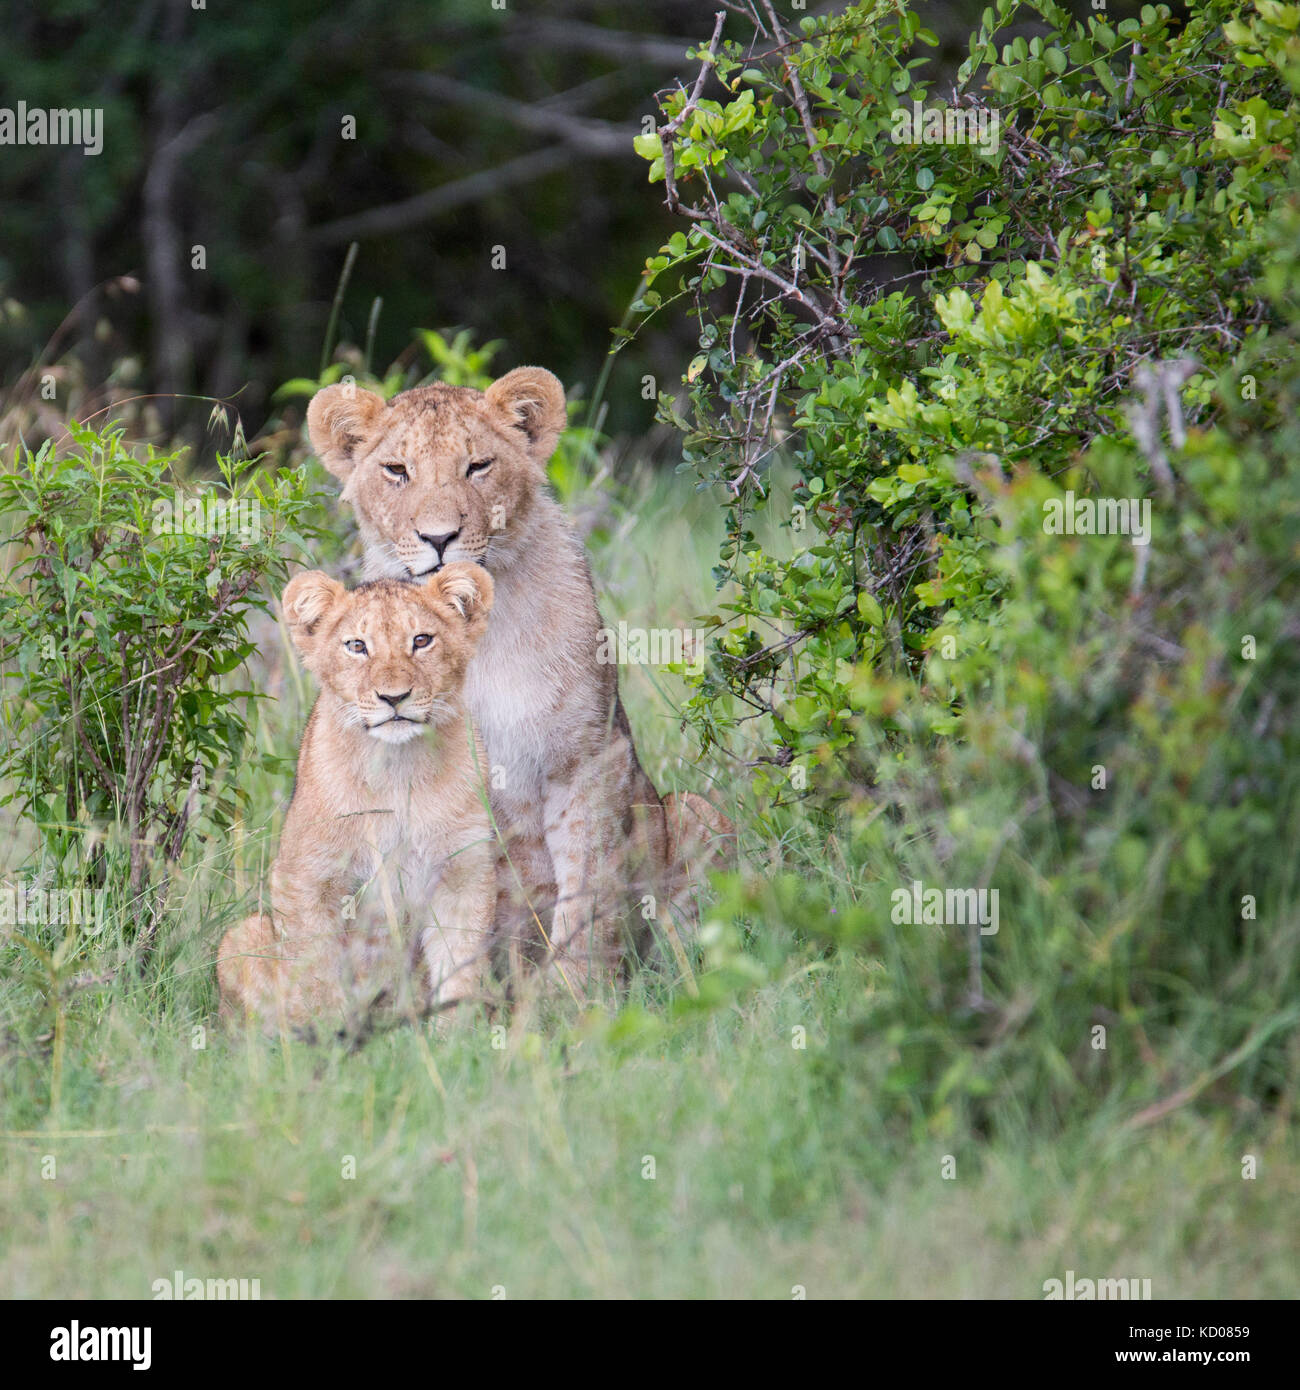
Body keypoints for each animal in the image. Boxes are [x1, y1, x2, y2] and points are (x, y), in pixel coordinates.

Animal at [216, 562, 498, 1033]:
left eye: (422, 640)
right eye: (357, 646)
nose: (394, 697)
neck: (396, 769)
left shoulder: (464, 870)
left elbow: (458, 965)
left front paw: (454, 1038)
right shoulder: (306, 877)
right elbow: (316, 971)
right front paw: (331, 1039)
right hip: (241, 937)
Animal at [306, 368, 732, 991]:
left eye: (478, 466)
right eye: (397, 471)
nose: (439, 539)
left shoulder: (589, 758)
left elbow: (586, 892)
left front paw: (575, 994)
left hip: (693, 810)